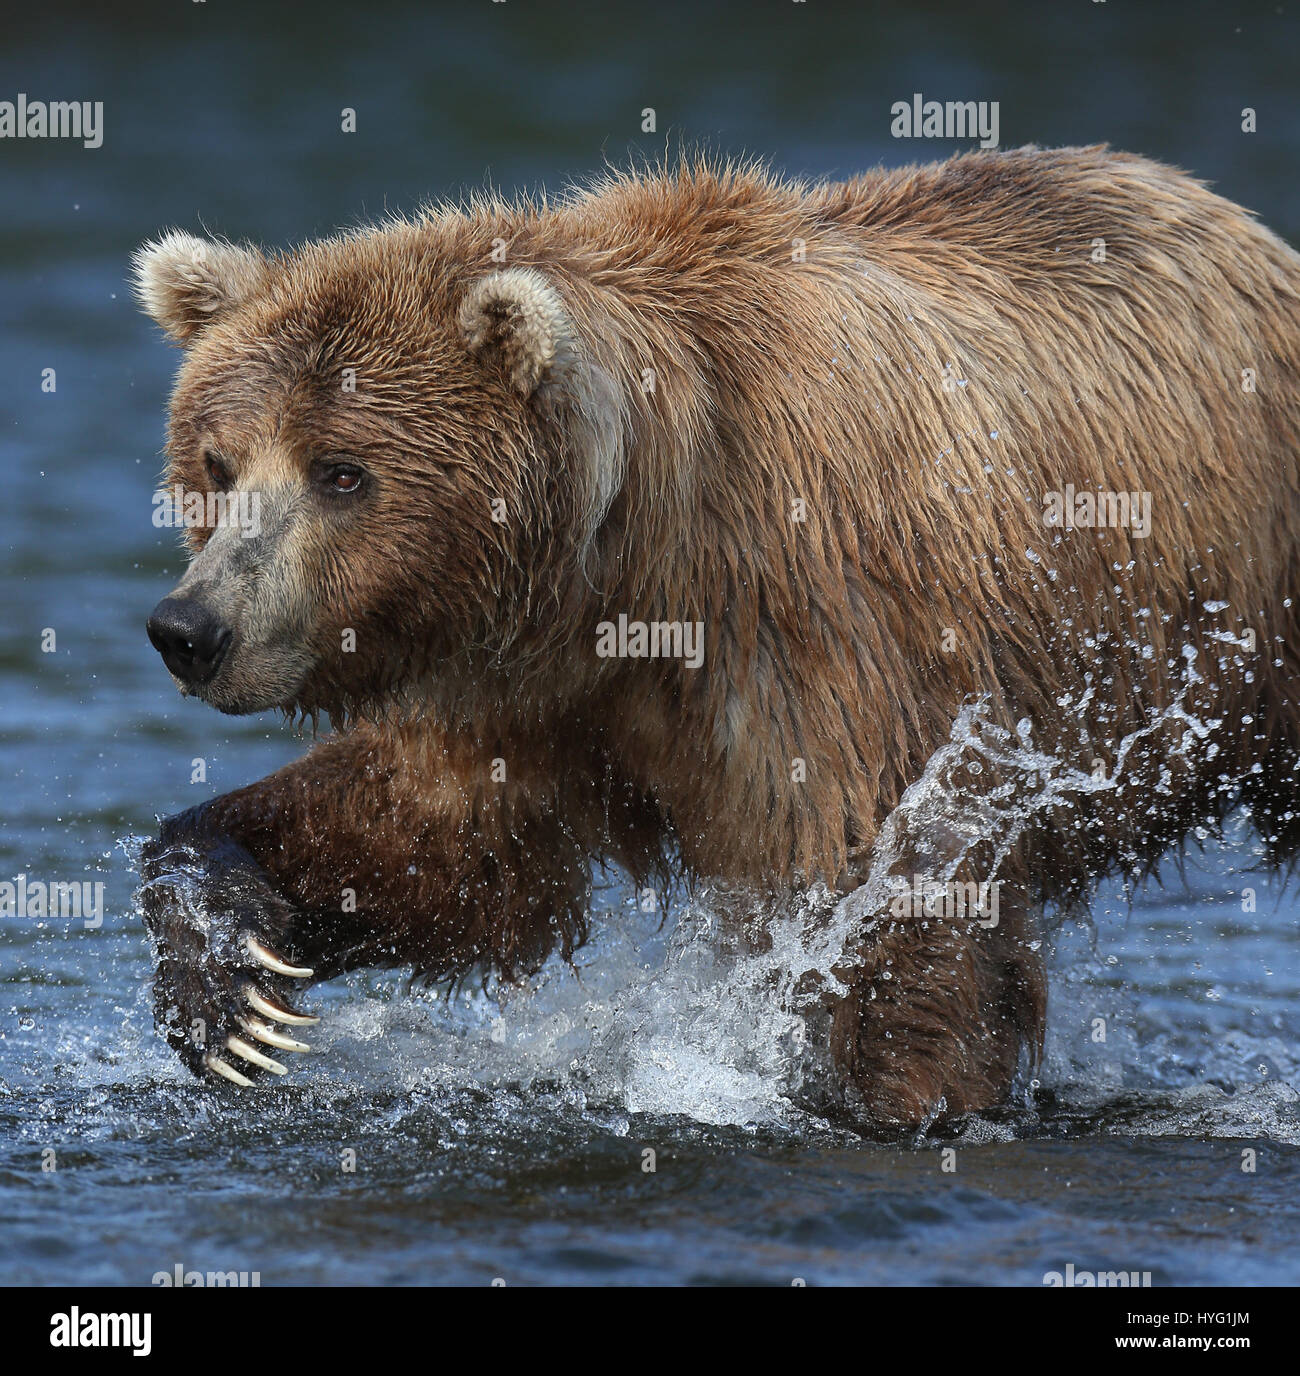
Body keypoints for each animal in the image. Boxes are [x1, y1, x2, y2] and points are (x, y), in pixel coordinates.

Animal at [133, 145, 1300, 1128]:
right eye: (219, 462)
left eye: (342, 472)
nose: (192, 627)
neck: (631, 563)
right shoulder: (516, 677)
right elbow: (442, 837)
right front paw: (233, 986)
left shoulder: (816, 626)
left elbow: (889, 904)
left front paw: (901, 1098)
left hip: (1243, 614)